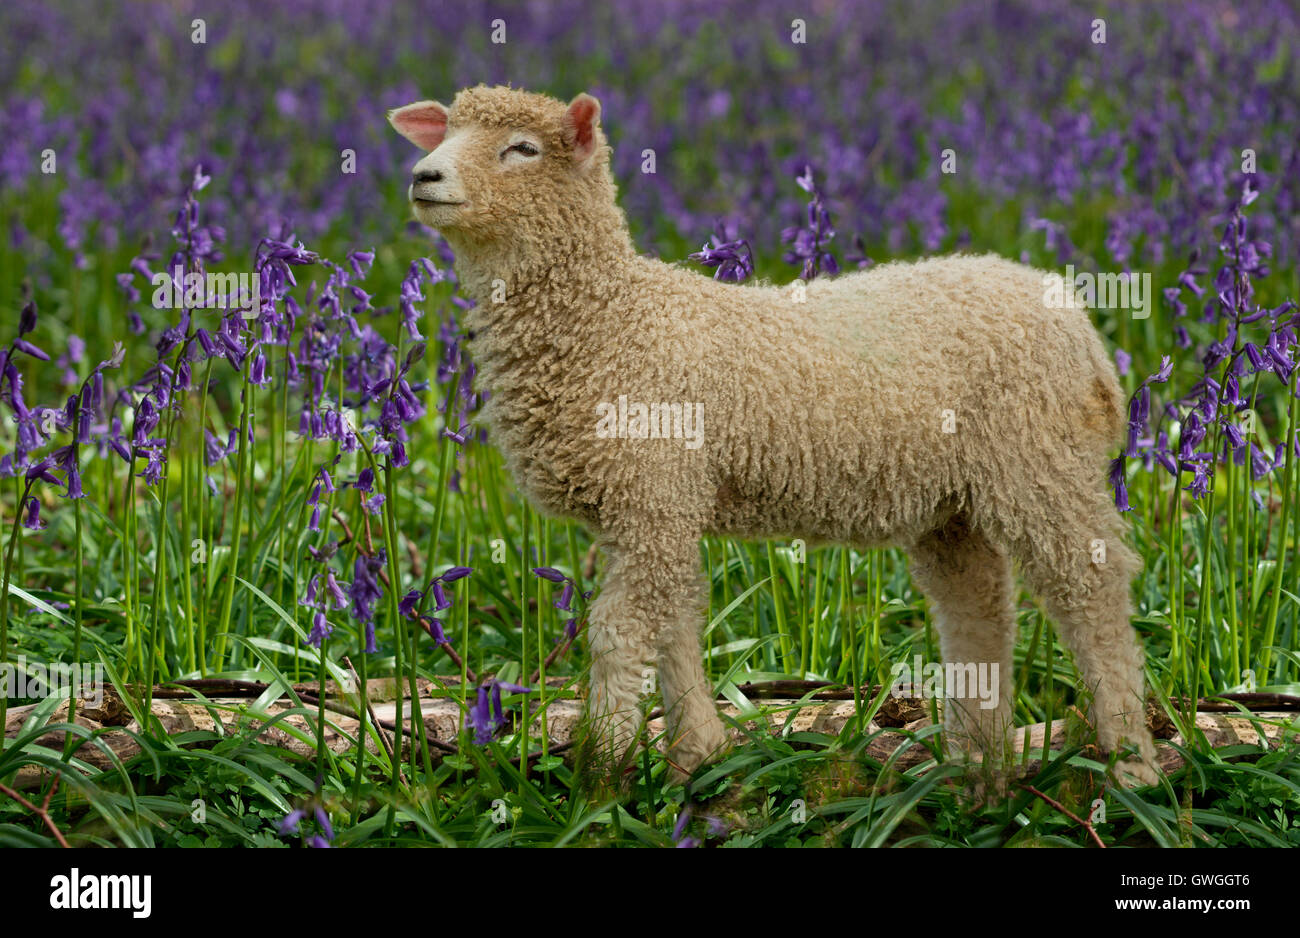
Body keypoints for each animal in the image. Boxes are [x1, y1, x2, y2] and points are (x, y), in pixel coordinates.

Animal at [388, 84, 1159, 791]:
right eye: (446, 131)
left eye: (522, 149)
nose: (423, 176)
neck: (616, 318)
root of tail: (1081, 325)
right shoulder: (651, 505)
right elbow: (675, 621)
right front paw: (696, 755)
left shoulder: (654, 492)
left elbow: (619, 629)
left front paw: (599, 774)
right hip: (956, 503)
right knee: (977, 607)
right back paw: (977, 767)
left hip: (1038, 462)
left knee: (1091, 592)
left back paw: (1131, 765)